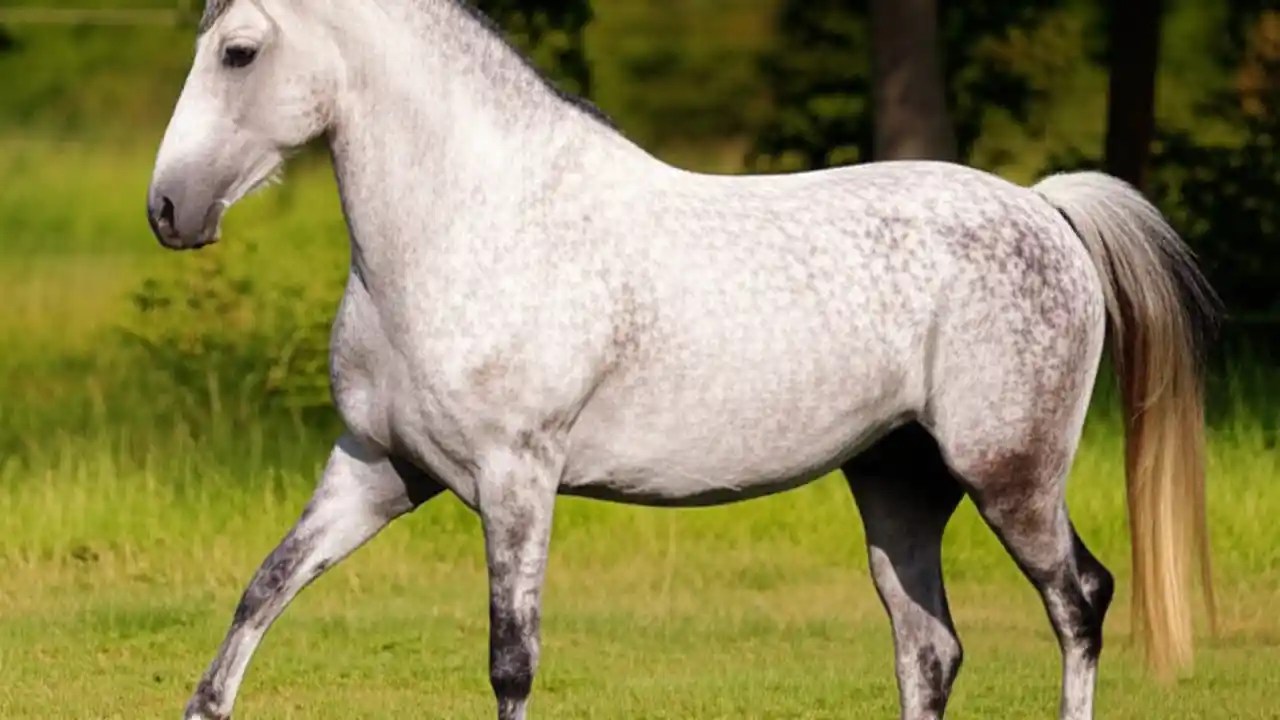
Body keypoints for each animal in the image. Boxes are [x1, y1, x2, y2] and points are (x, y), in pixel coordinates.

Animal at [146, 1, 1218, 718]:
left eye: (239, 51)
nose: (168, 209)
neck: (475, 223)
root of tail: (1045, 208)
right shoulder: (377, 470)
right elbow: (261, 593)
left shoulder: (515, 478)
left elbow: (511, 658)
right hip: (897, 482)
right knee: (930, 649)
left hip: (1011, 476)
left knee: (1079, 603)